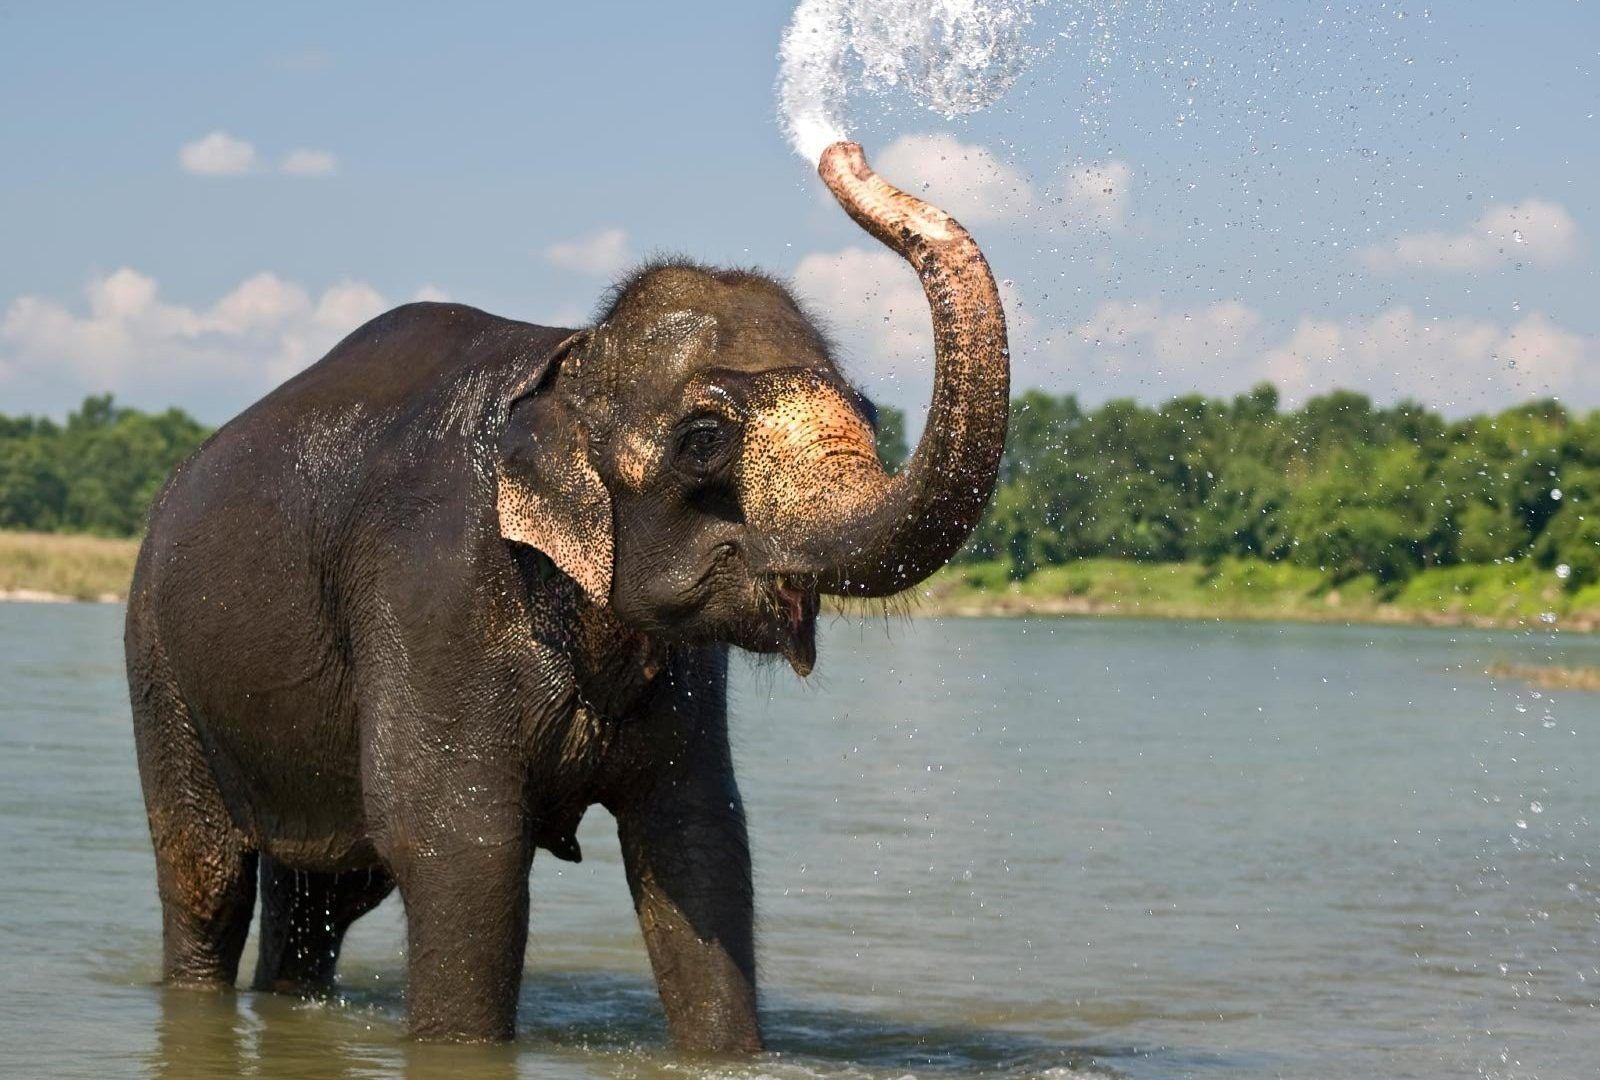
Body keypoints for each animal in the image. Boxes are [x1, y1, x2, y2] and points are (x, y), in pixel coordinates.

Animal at [124, 141, 1010, 1049]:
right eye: (704, 440)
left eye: (869, 409)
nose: (843, 152)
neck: (569, 360)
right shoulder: (431, 589)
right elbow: (459, 846)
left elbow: (699, 841)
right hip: (157, 660)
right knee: (207, 879)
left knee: (323, 897)